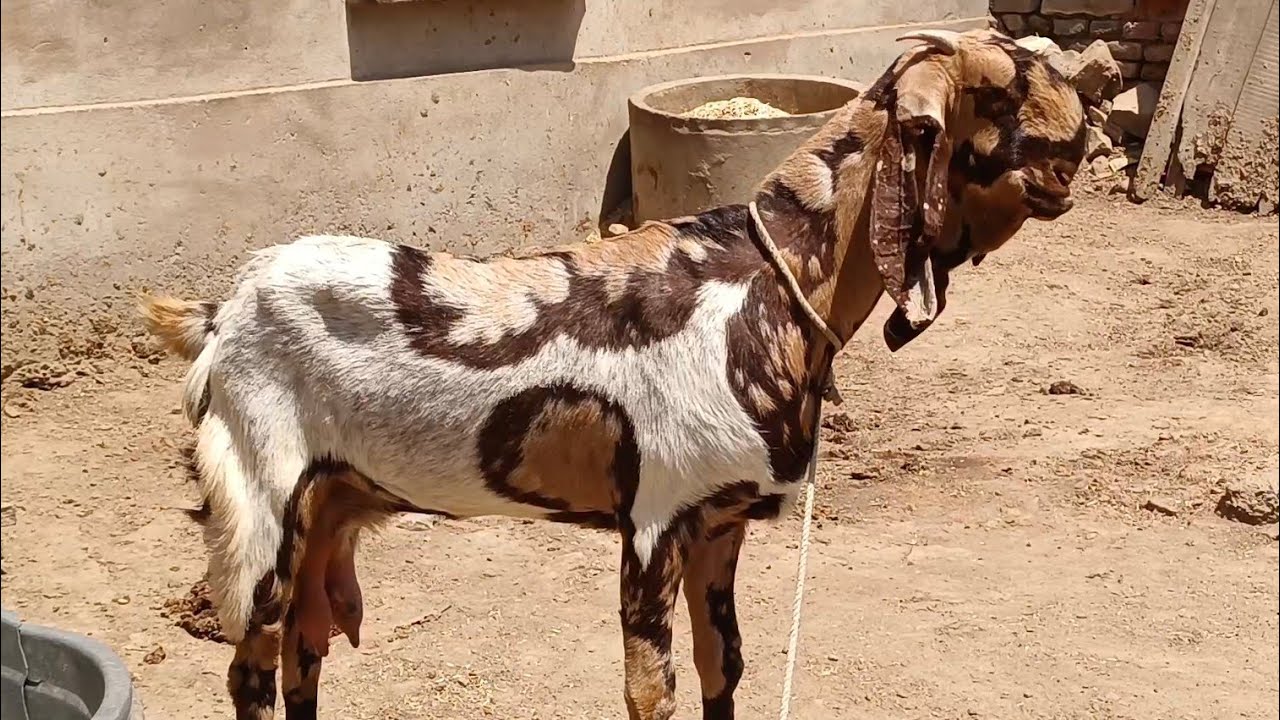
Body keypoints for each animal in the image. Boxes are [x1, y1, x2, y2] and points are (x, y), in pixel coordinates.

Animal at [142, 29, 1085, 720]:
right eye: (1004, 88)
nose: (1081, 141)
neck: (765, 281)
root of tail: (219, 314)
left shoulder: (718, 522)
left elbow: (724, 666)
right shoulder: (655, 518)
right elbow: (648, 690)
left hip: (330, 512)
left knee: (306, 658)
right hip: (261, 509)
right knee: (252, 673)